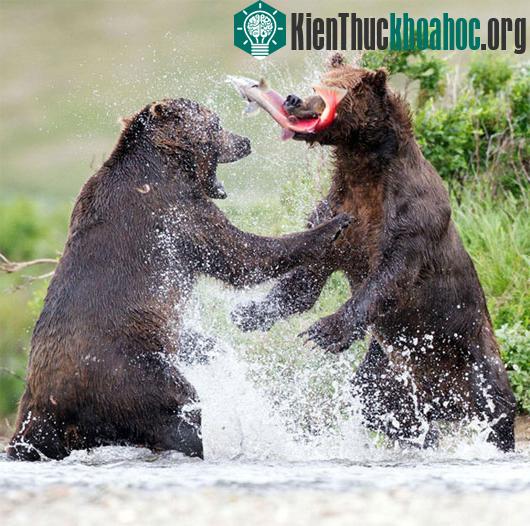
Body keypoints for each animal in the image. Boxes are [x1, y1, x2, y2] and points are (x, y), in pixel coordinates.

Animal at [7, 99, 350, 462]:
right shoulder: (174, 212)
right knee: (179, 407)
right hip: (127, 371)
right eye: (217, 123)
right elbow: (240, 255)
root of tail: (45, 400)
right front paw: (332, 225)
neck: (167, 163)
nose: (244, 142)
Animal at [233, 54, 512, 454]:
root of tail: (444, 398)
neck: (364, 173)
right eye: (318, 81)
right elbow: (305, 281)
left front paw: (324, 331)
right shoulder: (338, 217)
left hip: (470, 350)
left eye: (336, 88)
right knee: (374, 401)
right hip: (388, 367)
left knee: (496, 405)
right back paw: (425, 434)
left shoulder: (410, 221)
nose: (292, 99)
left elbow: (389, 276)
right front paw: (248, 311)